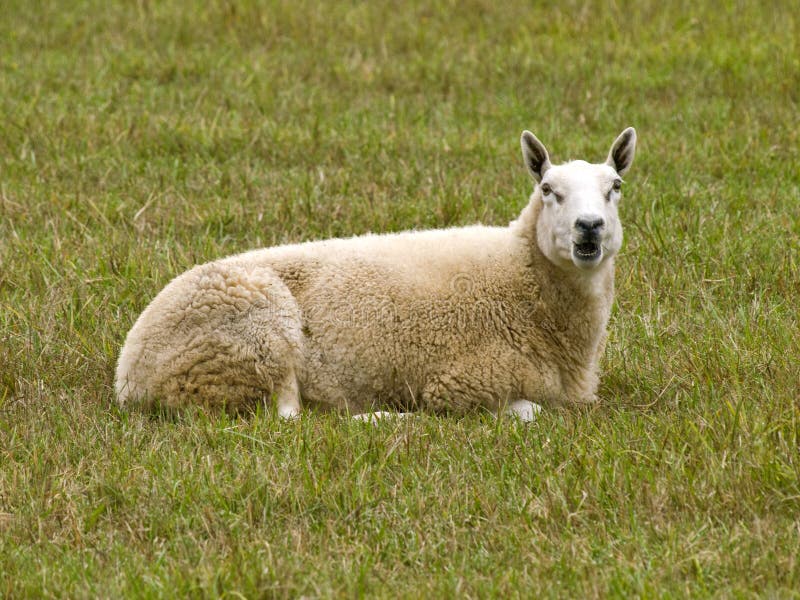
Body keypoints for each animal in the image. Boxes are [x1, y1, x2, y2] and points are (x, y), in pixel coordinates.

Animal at [115, 128, 637, 421]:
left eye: (615, 186)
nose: (589, 226)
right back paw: (389, 418)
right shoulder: (461, 383)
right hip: (252, 339)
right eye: (548, 189)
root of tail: (129, 372)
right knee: (291, 420)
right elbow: (530, 413)